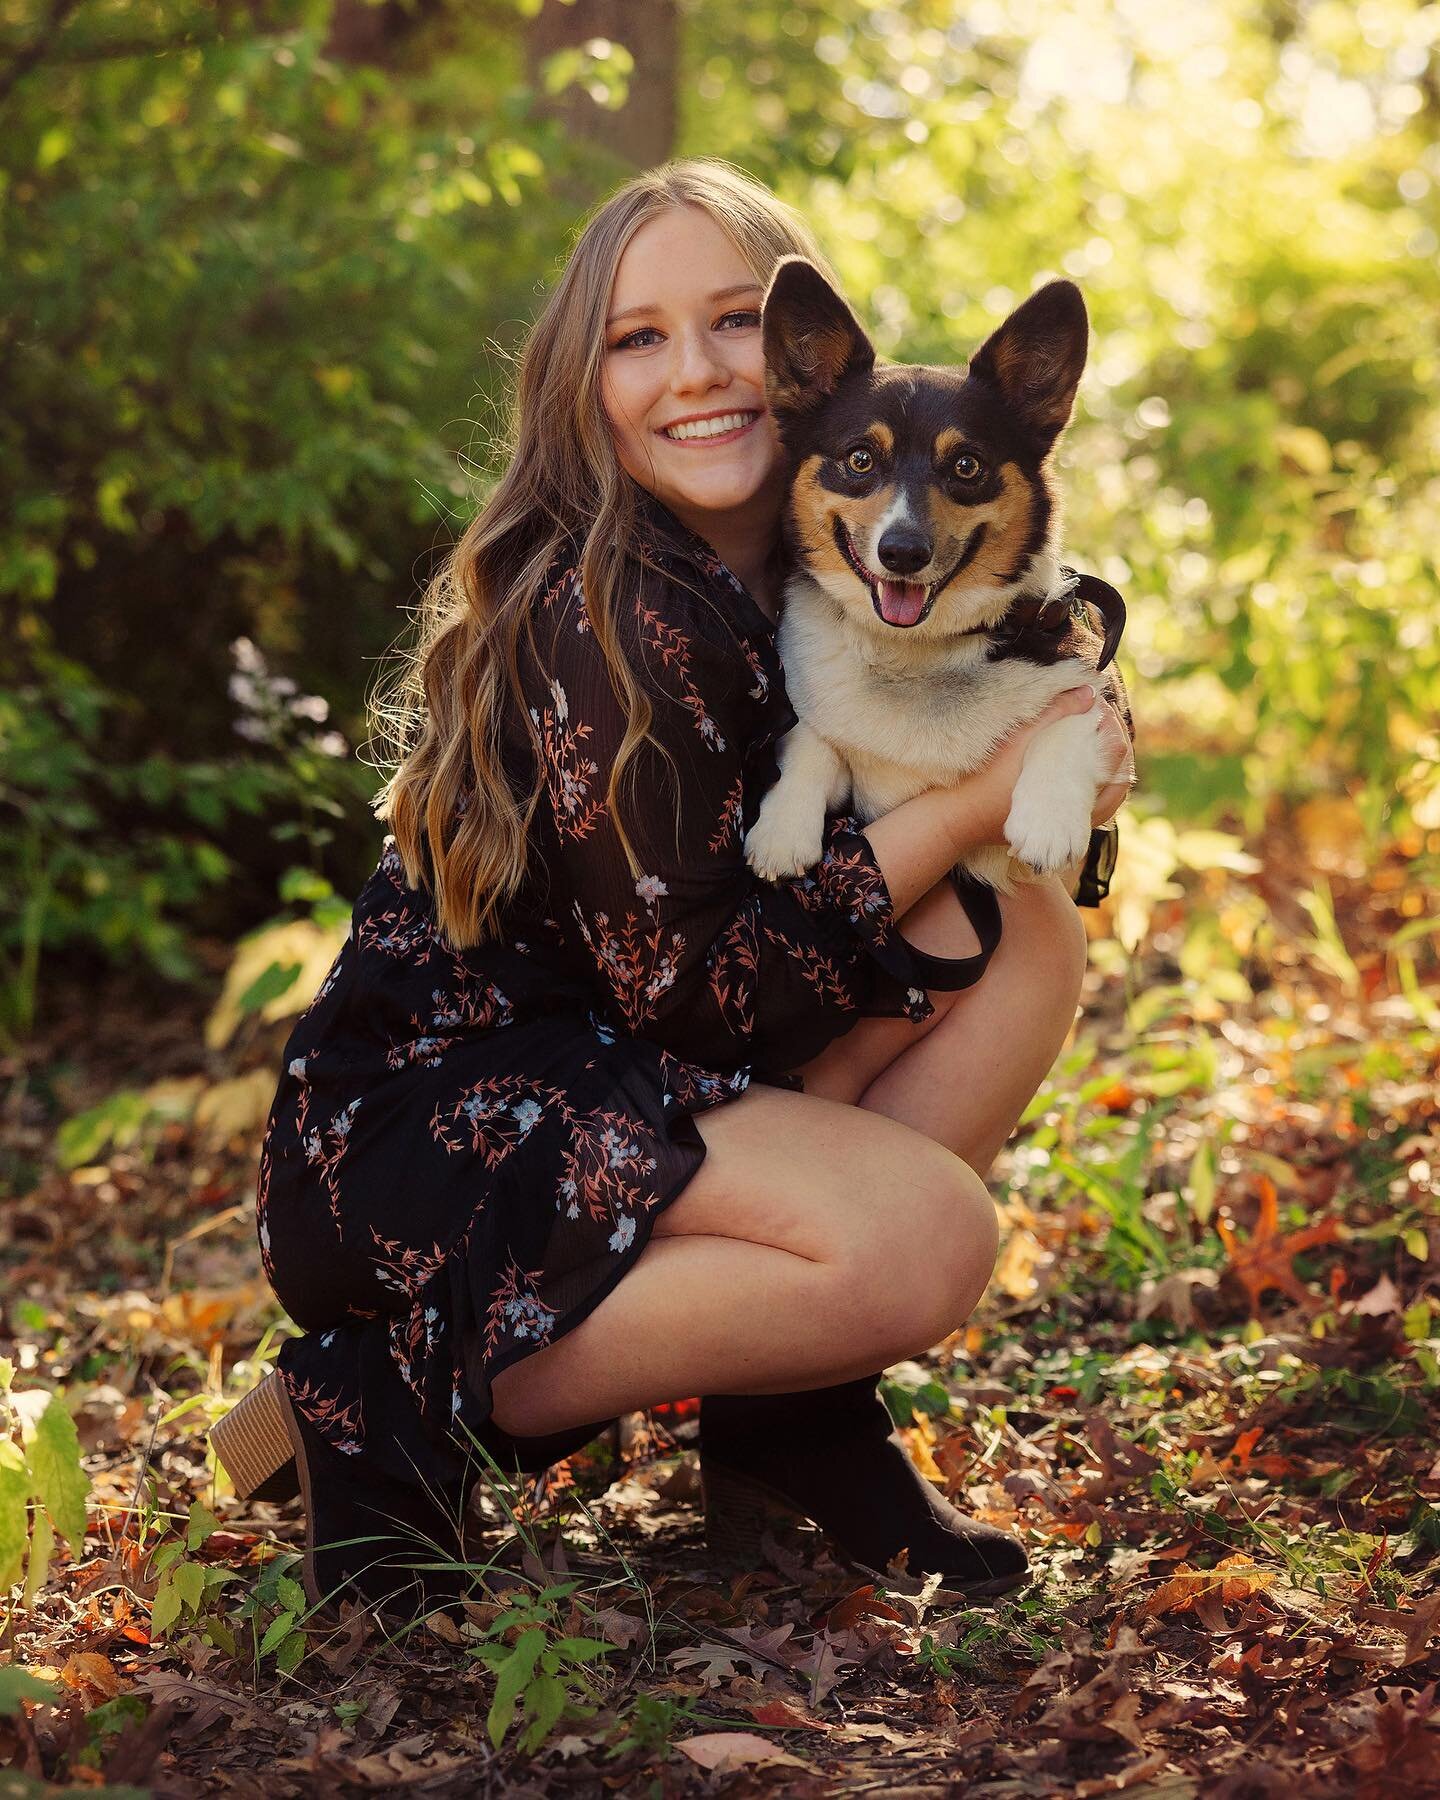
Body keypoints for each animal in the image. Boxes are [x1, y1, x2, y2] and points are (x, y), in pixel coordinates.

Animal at [741, 253, 1137, 900]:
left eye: (967, 466)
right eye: (860, 459)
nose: (903, 552)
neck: (915, 650)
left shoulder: (1099, 703)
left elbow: (1070, 724)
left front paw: (1047, 820)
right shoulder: (825, 741)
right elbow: (810, 746)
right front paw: (781, 831)